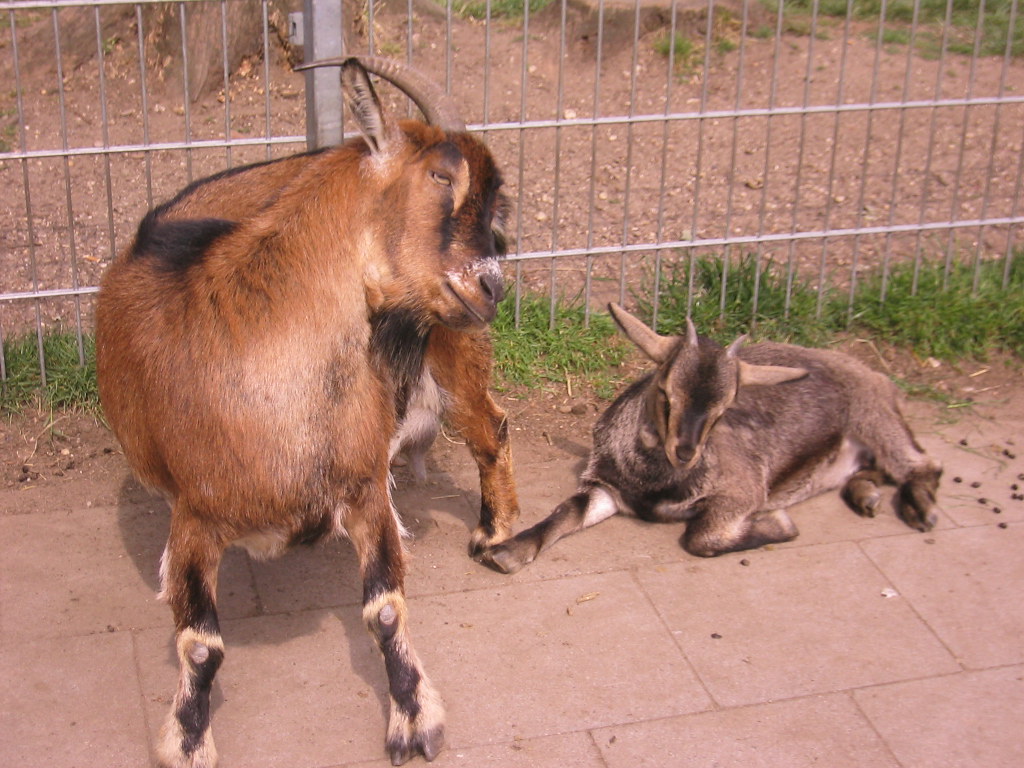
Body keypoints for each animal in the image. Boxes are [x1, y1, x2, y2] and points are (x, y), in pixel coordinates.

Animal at [95, 57, 520, 767]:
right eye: (441, 176)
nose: (490, 285)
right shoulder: (195, 514)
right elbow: (200, 645)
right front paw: (187, 741)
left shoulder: (366, 488)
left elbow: (385, 608)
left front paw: (414, 718)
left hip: (454, 348)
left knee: (489, 426)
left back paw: (495, 536)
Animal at [479, 303, 940, 574]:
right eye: (665, 392)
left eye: (725, 408)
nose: (685, 451)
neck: (652, 484)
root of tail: (879, 377)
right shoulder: (607, 486)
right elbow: (565, 513)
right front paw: (507, 552)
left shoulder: (742, 491)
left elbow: (701, 538)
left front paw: (778, 523)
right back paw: (867, 497)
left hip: (875, 417)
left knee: (925, 464)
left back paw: (921, 512)